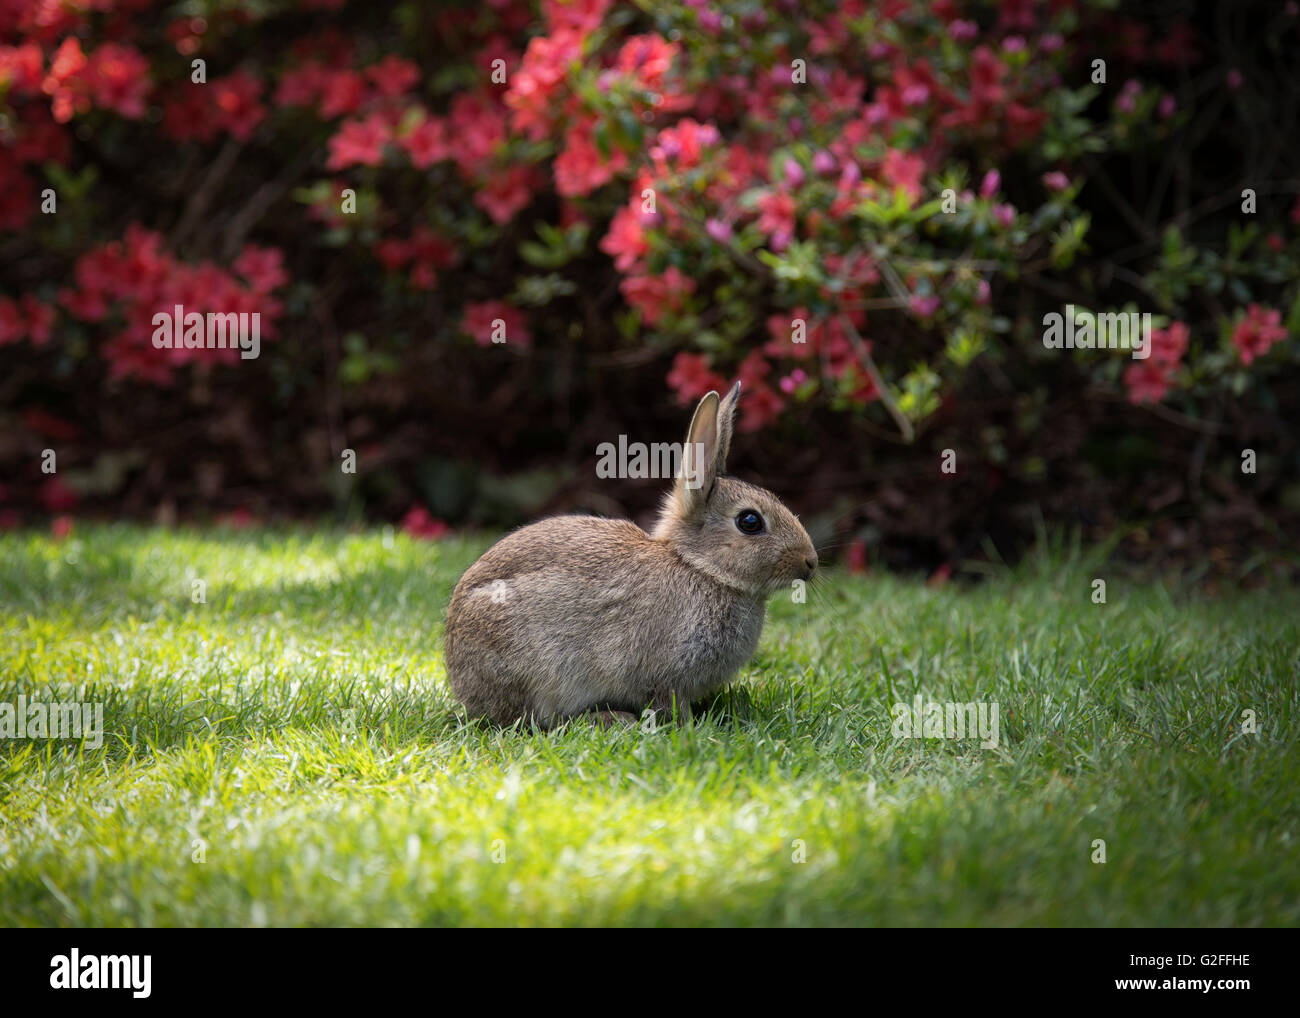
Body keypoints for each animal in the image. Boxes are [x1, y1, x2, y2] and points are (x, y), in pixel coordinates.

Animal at [444, 380, 817, 728]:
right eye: (749, 521)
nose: (811, 562)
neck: (699, 567)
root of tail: (458, 677)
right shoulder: (663, 674)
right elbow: (667, 702)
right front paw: (688, 725)